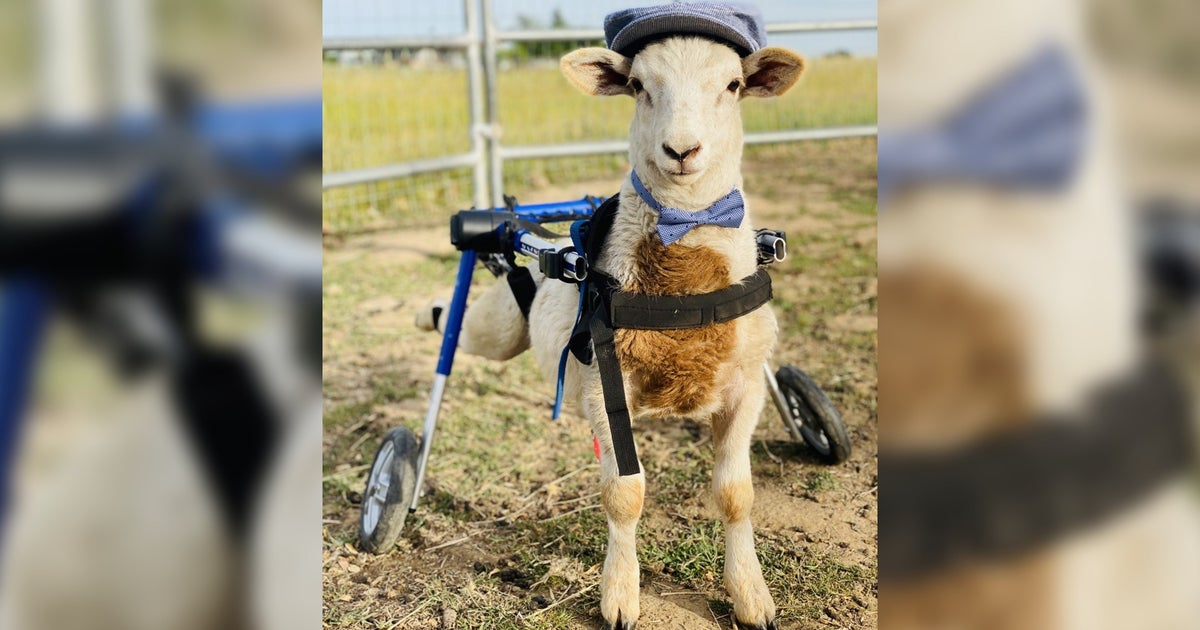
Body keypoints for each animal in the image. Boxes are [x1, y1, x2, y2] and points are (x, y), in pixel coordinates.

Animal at [437, 36, 805, 629]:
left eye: (732, 85)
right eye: (638, 85)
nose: (682, 150)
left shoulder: (745, 386)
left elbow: (737, 494)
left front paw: (752, 596)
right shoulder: (603, 389)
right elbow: (623, 495)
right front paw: (619, 598)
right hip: (495, 329)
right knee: (455, 325)